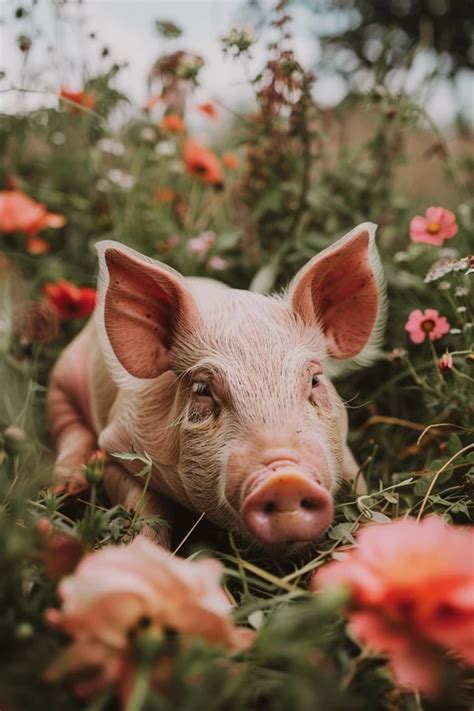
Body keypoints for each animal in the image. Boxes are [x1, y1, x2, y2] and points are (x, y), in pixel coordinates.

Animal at [47, 222, 386, 556]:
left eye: (315, 380)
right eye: (202, 389)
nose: (286, 480)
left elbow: (364, 497)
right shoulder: (118, 443)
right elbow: (145, 509)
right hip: (62, 374)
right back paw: (66, 489)